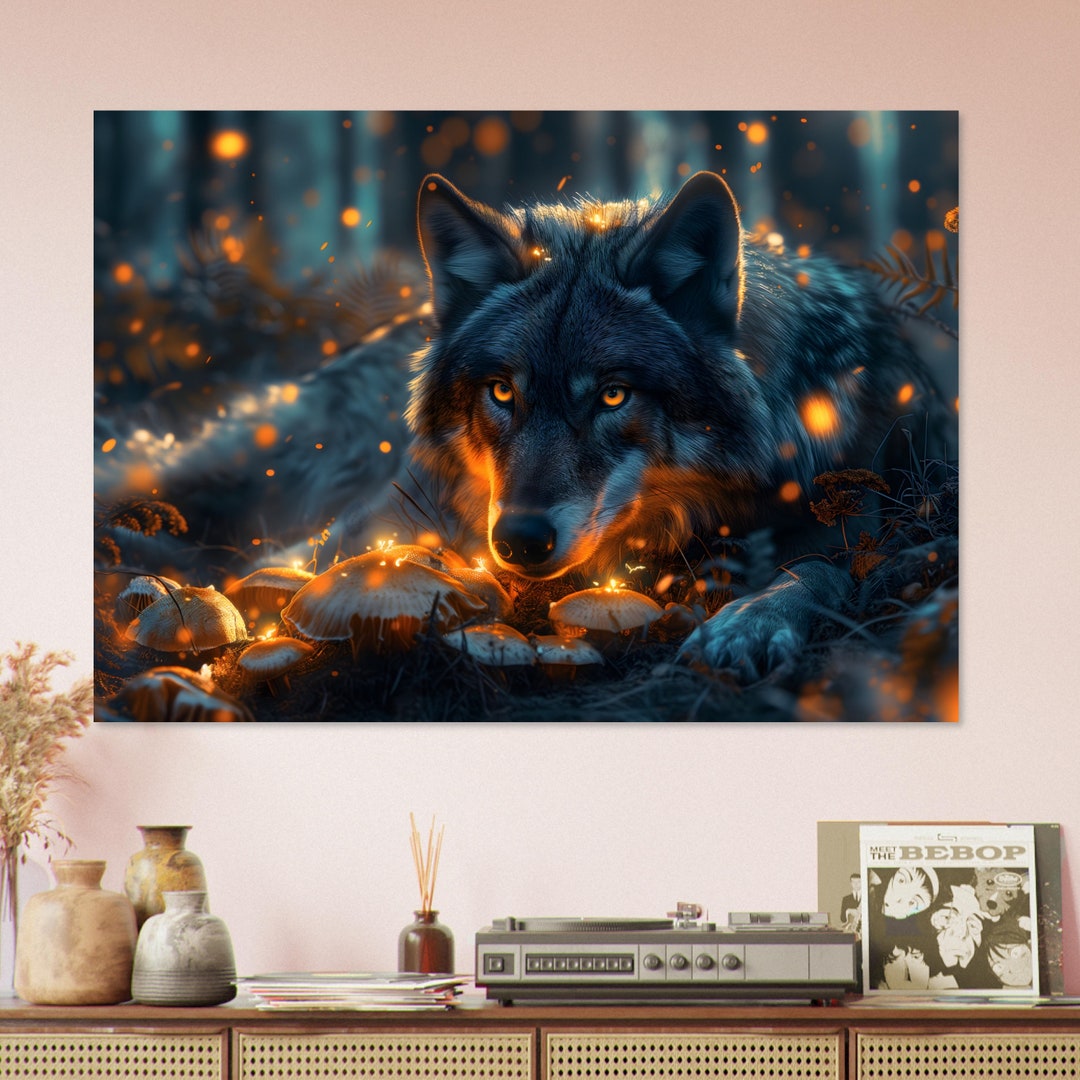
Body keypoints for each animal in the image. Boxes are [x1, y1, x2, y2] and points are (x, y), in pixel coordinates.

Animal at [406, 171, 951, 676]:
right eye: (502, 391)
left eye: (613, 395)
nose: (520, 538)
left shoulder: (853, 532)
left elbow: (810, 571)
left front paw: (749, 623)